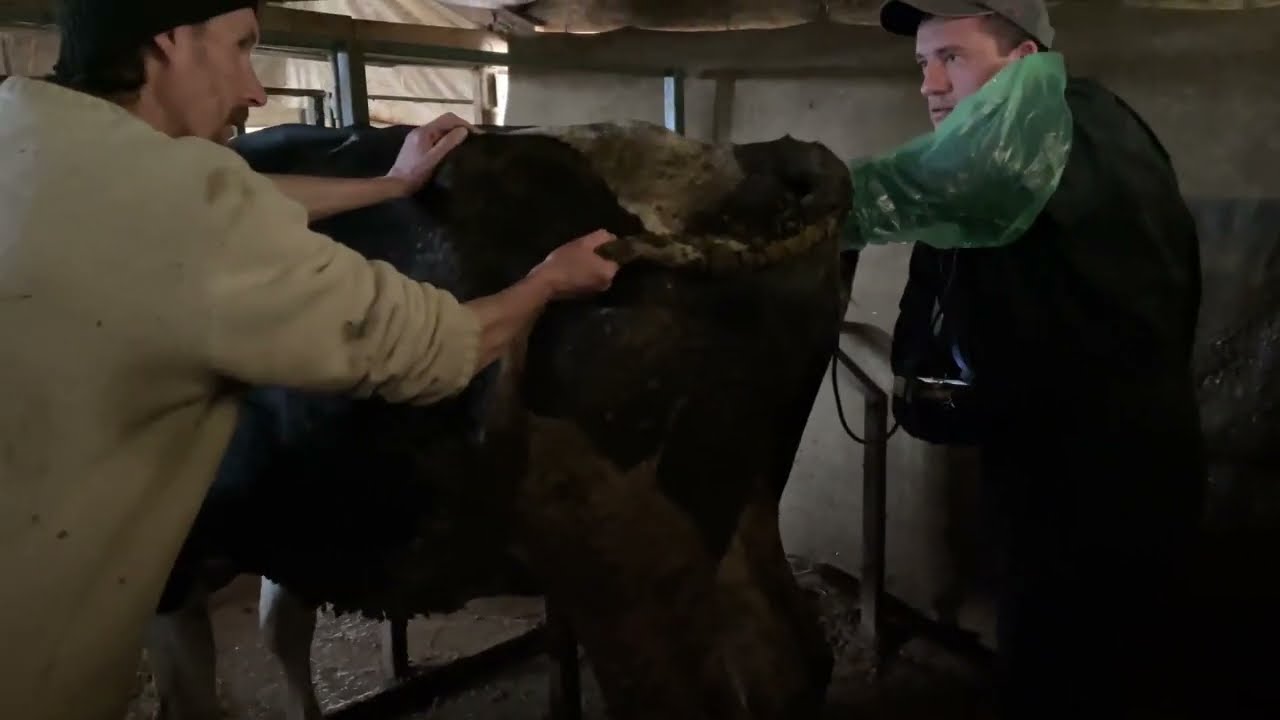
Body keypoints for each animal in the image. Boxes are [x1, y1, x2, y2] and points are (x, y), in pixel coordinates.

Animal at [143, 119, 855, 720]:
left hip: (627, 555)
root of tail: (762, 163)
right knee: (794, 661)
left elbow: (199, 683)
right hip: (738, 492)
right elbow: (281, 625)